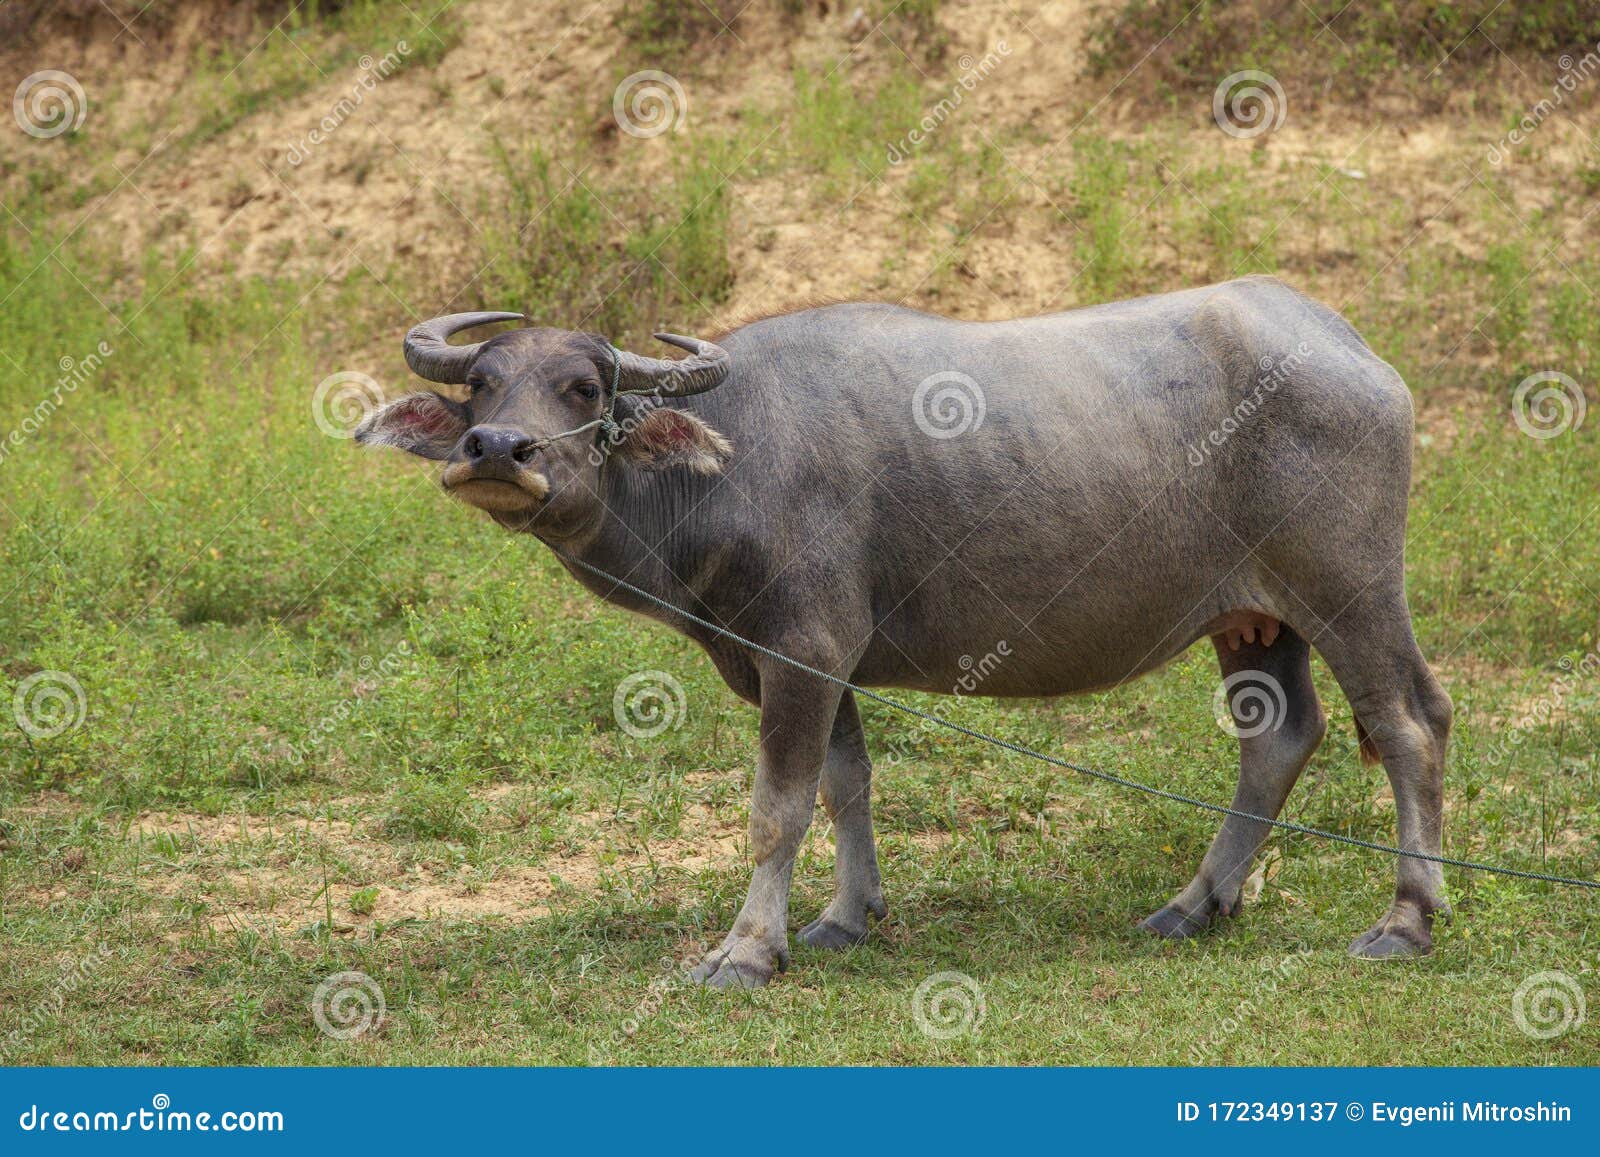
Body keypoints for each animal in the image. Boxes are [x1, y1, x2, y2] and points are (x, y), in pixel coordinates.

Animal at [354, 275, 1452, 988]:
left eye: (584, 388)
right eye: (483, 385)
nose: (497, 448)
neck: (731, 459)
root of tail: (1354, 350)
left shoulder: (802, 648)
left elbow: (776, 806)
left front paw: (745, 950)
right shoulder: (816, 661)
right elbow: (845, 785)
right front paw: (844, 917)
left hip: (1350, 587)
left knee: (1410, 721)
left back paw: (1405, 917)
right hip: (1252, 618)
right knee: (1280, 736)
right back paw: (1194, 903)